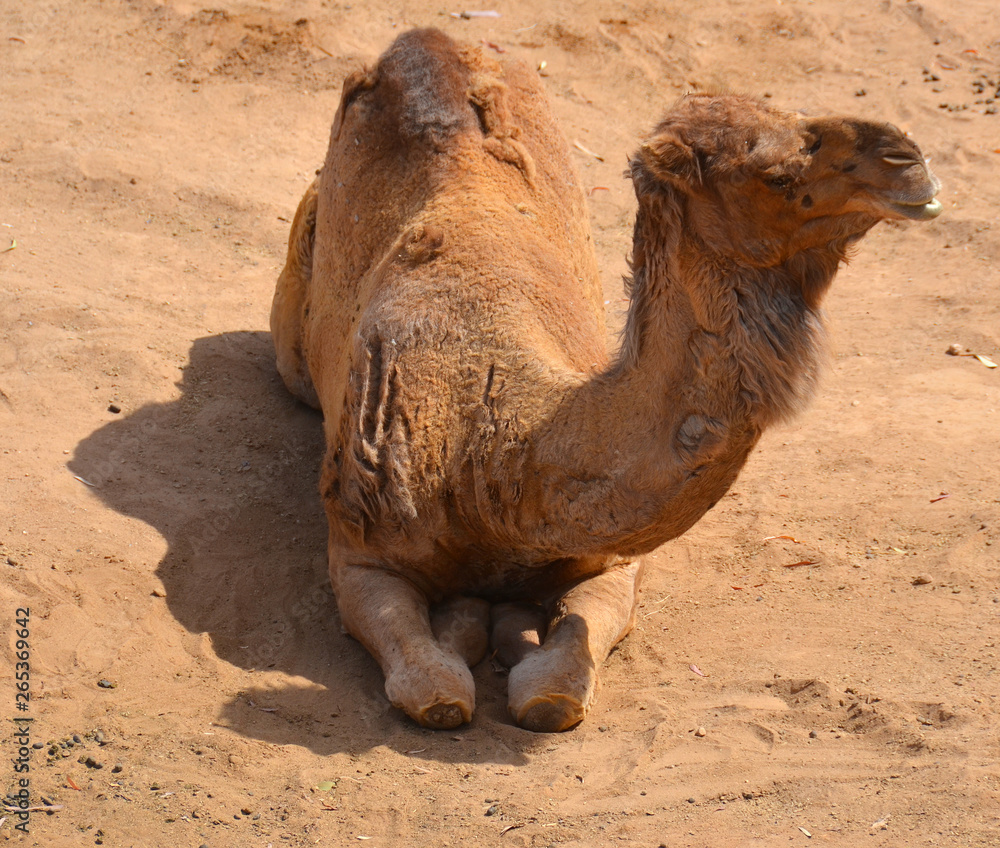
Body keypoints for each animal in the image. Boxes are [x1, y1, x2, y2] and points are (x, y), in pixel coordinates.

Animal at [270, 28, 942, 733]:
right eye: (775, 174)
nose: (908, 157)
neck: (492, 459)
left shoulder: (615, 562)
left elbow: (561, 680)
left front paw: (506, 631)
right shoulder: (361, 551)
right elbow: (434, 689)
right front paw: (464, 632)